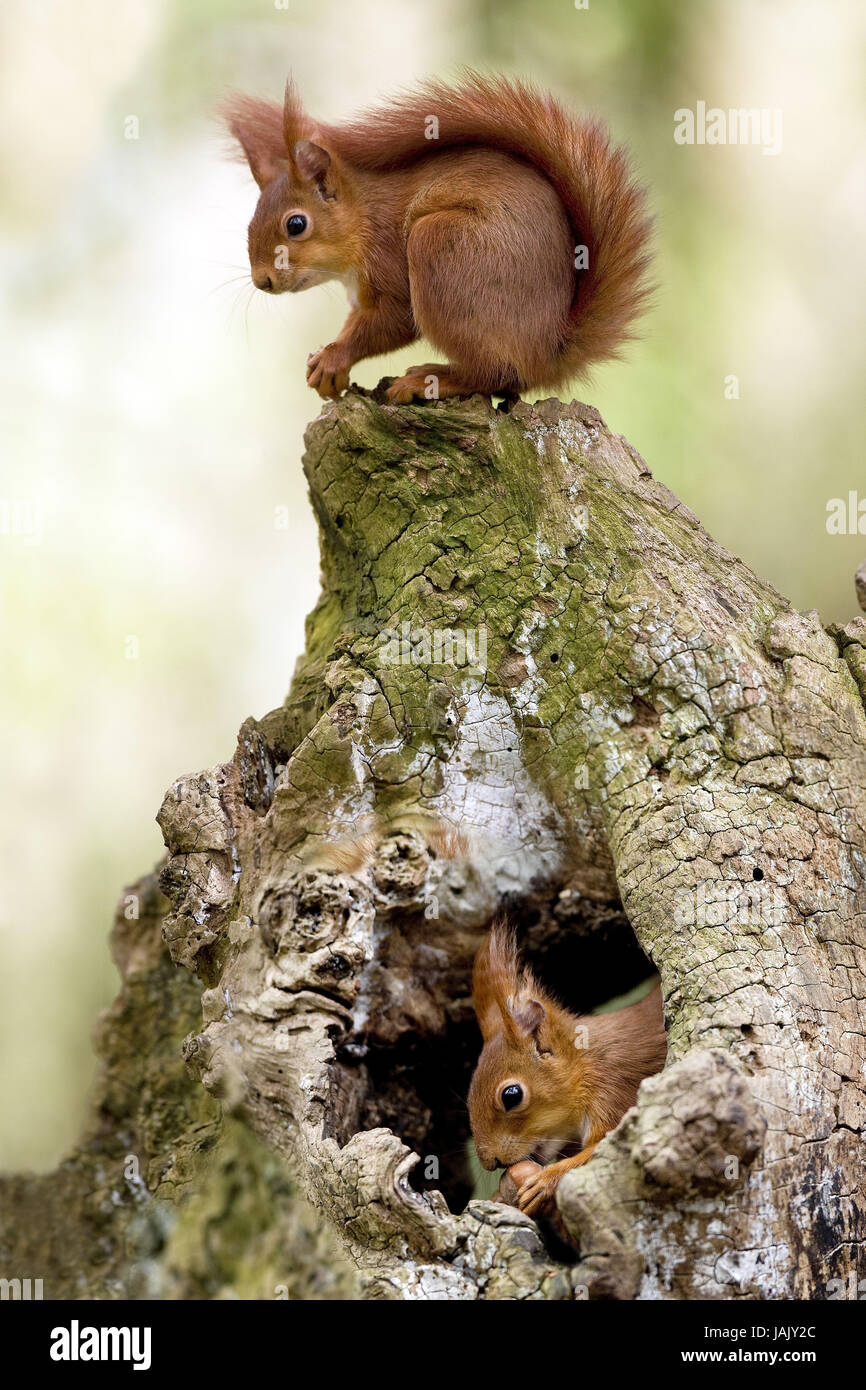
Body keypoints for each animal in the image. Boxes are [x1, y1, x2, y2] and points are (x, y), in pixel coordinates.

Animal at [223, 71, 652, 404]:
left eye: (296, 224)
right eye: (248, 224)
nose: (262, 281)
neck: (363, 220)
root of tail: (549, 353)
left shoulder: (388, 259)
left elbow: (394, 321)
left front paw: (334, 357)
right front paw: (326, 363)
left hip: (441, 246)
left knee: (496, 373)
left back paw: (431, 379)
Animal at [468, 921, 667, 1218]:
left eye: (511, 1095)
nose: (490, 1161)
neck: (586, 1066)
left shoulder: (616, 1093)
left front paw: (544, 1182)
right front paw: (499, 1197)